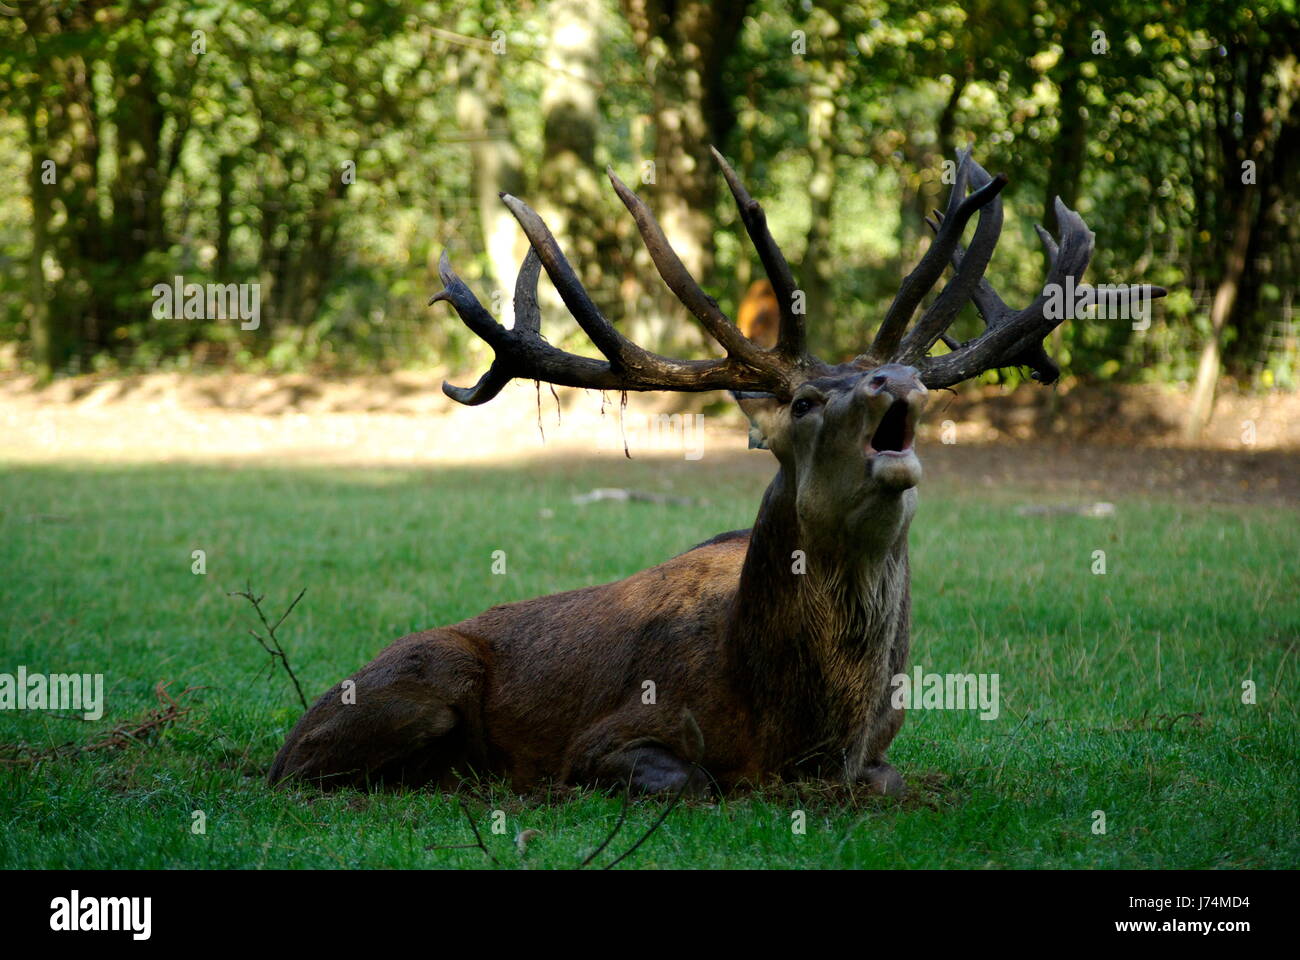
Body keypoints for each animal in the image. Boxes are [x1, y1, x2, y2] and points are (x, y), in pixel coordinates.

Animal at [269, 148, 1163, 797]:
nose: (896, 380)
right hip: (423, 682)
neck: (796, 728)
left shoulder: (882, 749)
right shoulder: (610, 732)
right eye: (804, 400)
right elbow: (691, 781)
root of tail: (285, 736)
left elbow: (887, 781)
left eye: (904, 375)